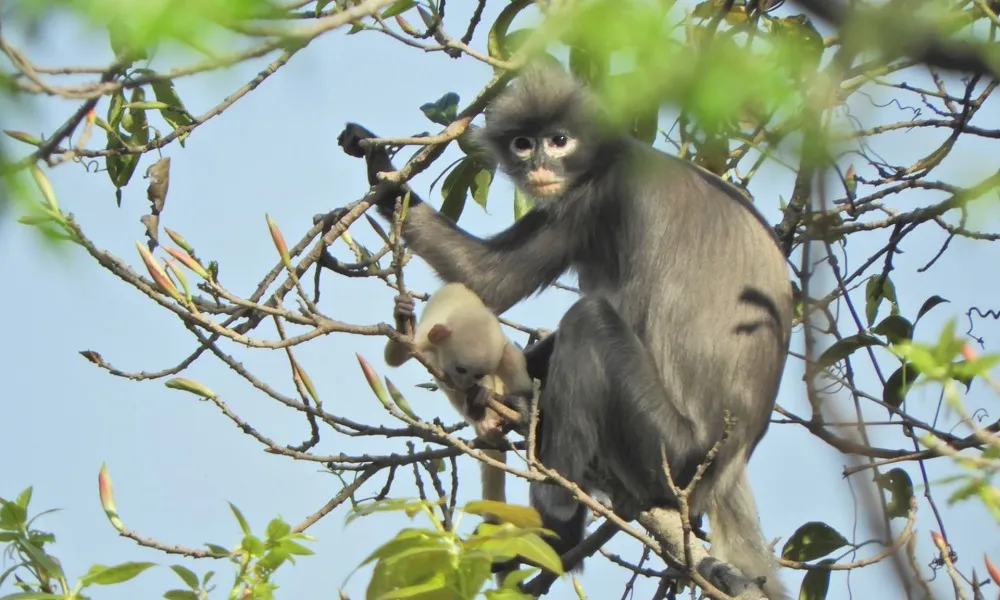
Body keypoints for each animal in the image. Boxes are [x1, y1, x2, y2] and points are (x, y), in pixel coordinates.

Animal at [383, 282, 534, 525]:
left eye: (477, 373)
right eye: (460, 369)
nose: (466, 382)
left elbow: (515, 371)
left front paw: (517, 406)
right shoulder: (427, 338)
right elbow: (397, 356)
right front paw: (402, 314)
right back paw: (479, 414)